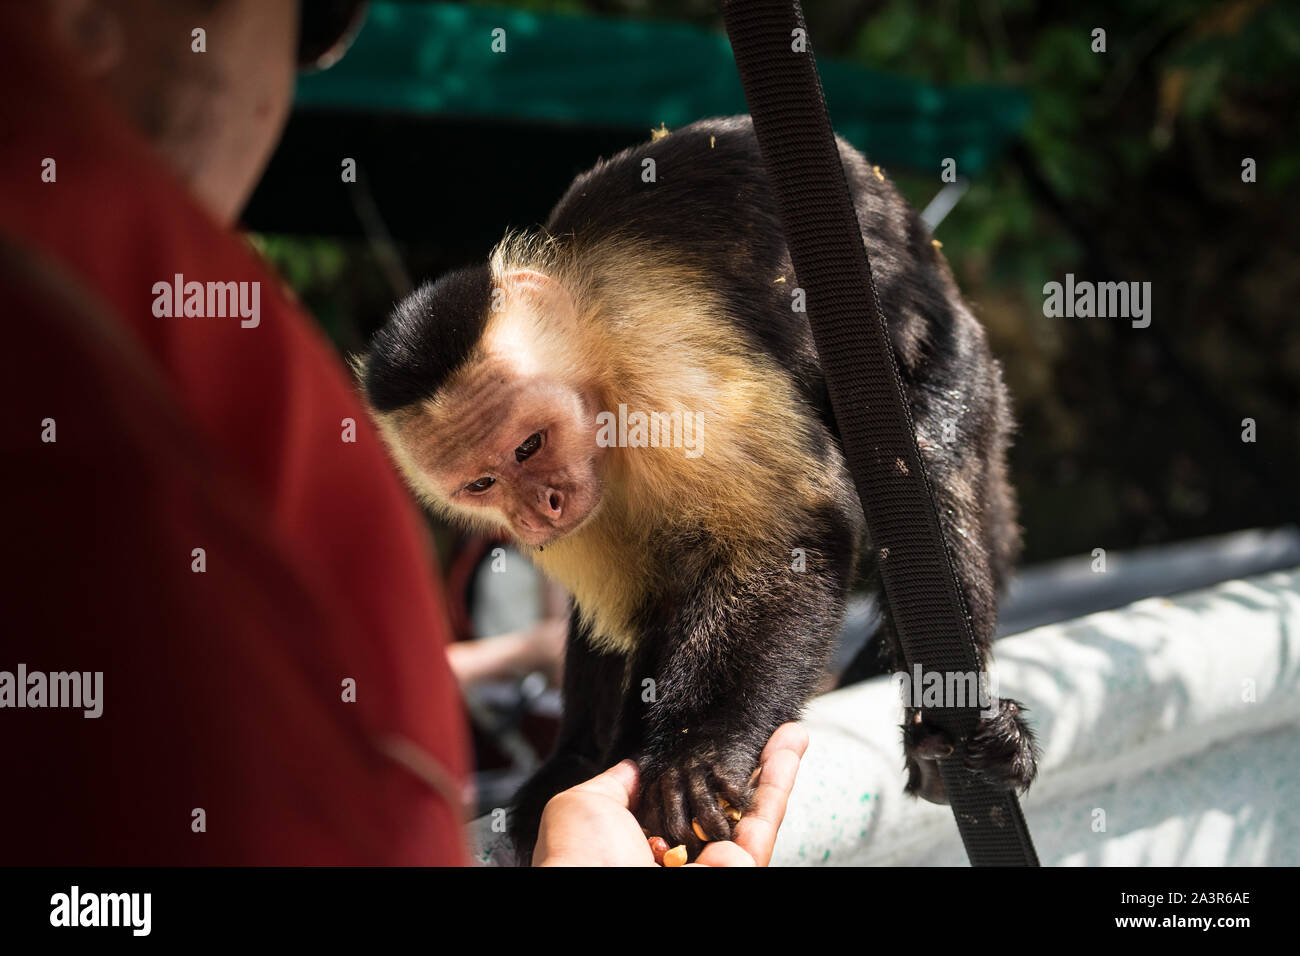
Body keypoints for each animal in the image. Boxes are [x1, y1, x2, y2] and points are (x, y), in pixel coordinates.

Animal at [361, 115, 1037, 862]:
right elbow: (648, 605)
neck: (598, 381)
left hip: (952, 348)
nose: (540, 510)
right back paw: (574, 761)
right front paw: (602, 769)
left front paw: (698, 754)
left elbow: (793, 530)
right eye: (483, 481)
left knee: (931, 463)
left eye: (528, 445)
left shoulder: (664, 371)